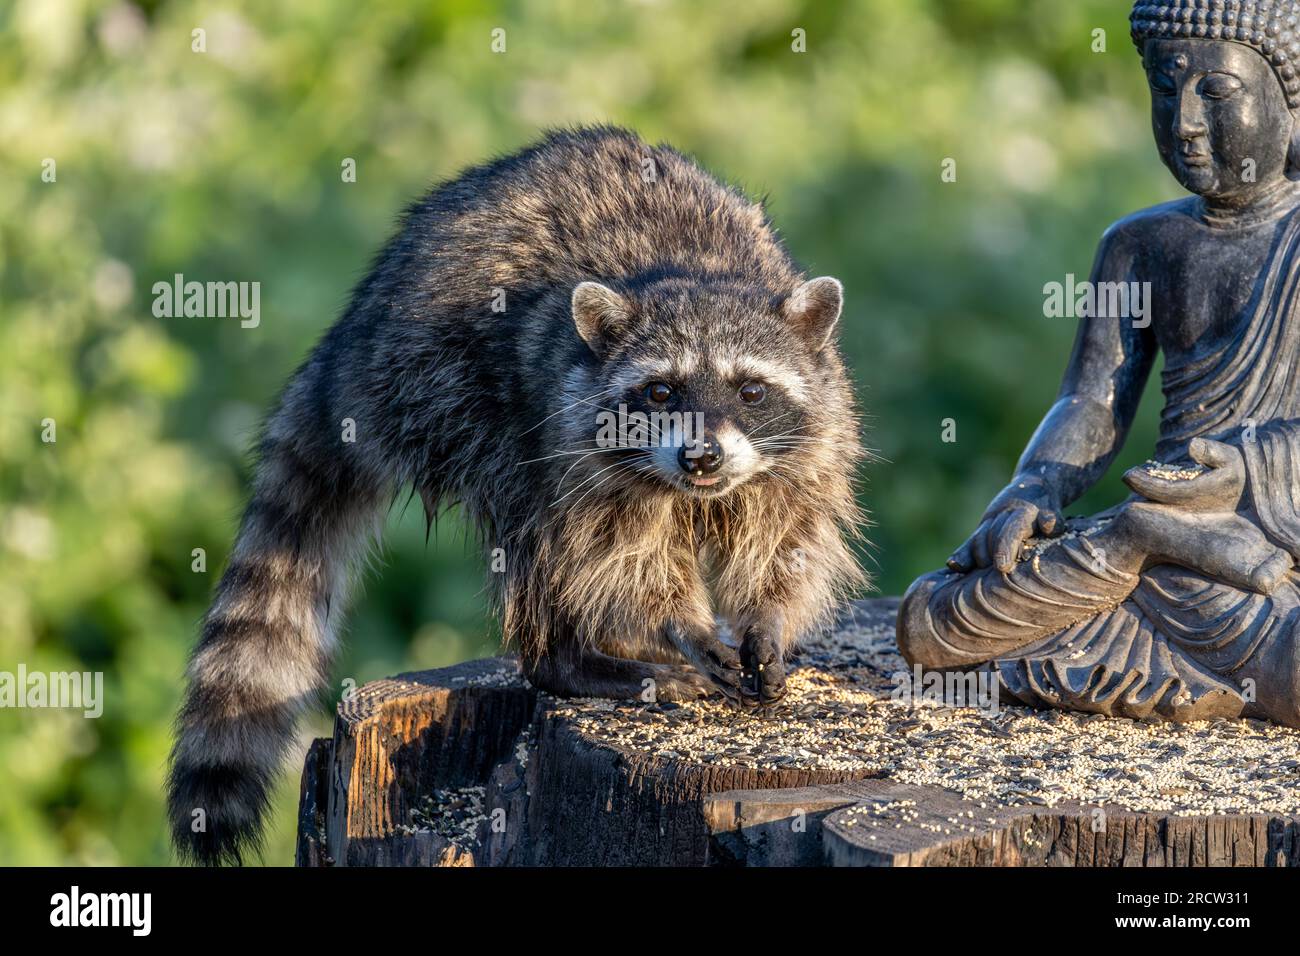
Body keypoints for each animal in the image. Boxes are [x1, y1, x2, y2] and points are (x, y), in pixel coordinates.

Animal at [168, 126, 868, 865]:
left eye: (751, 390)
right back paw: (561, 658)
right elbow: (619, 552)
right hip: (446, 389)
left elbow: (785, 538)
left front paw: (767, 618)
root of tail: (356, 329)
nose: (701, 455)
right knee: (533, 524)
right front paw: (686, 623)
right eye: (660, 392)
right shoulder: (576, 439)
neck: (694, 272)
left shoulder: (810, 444)